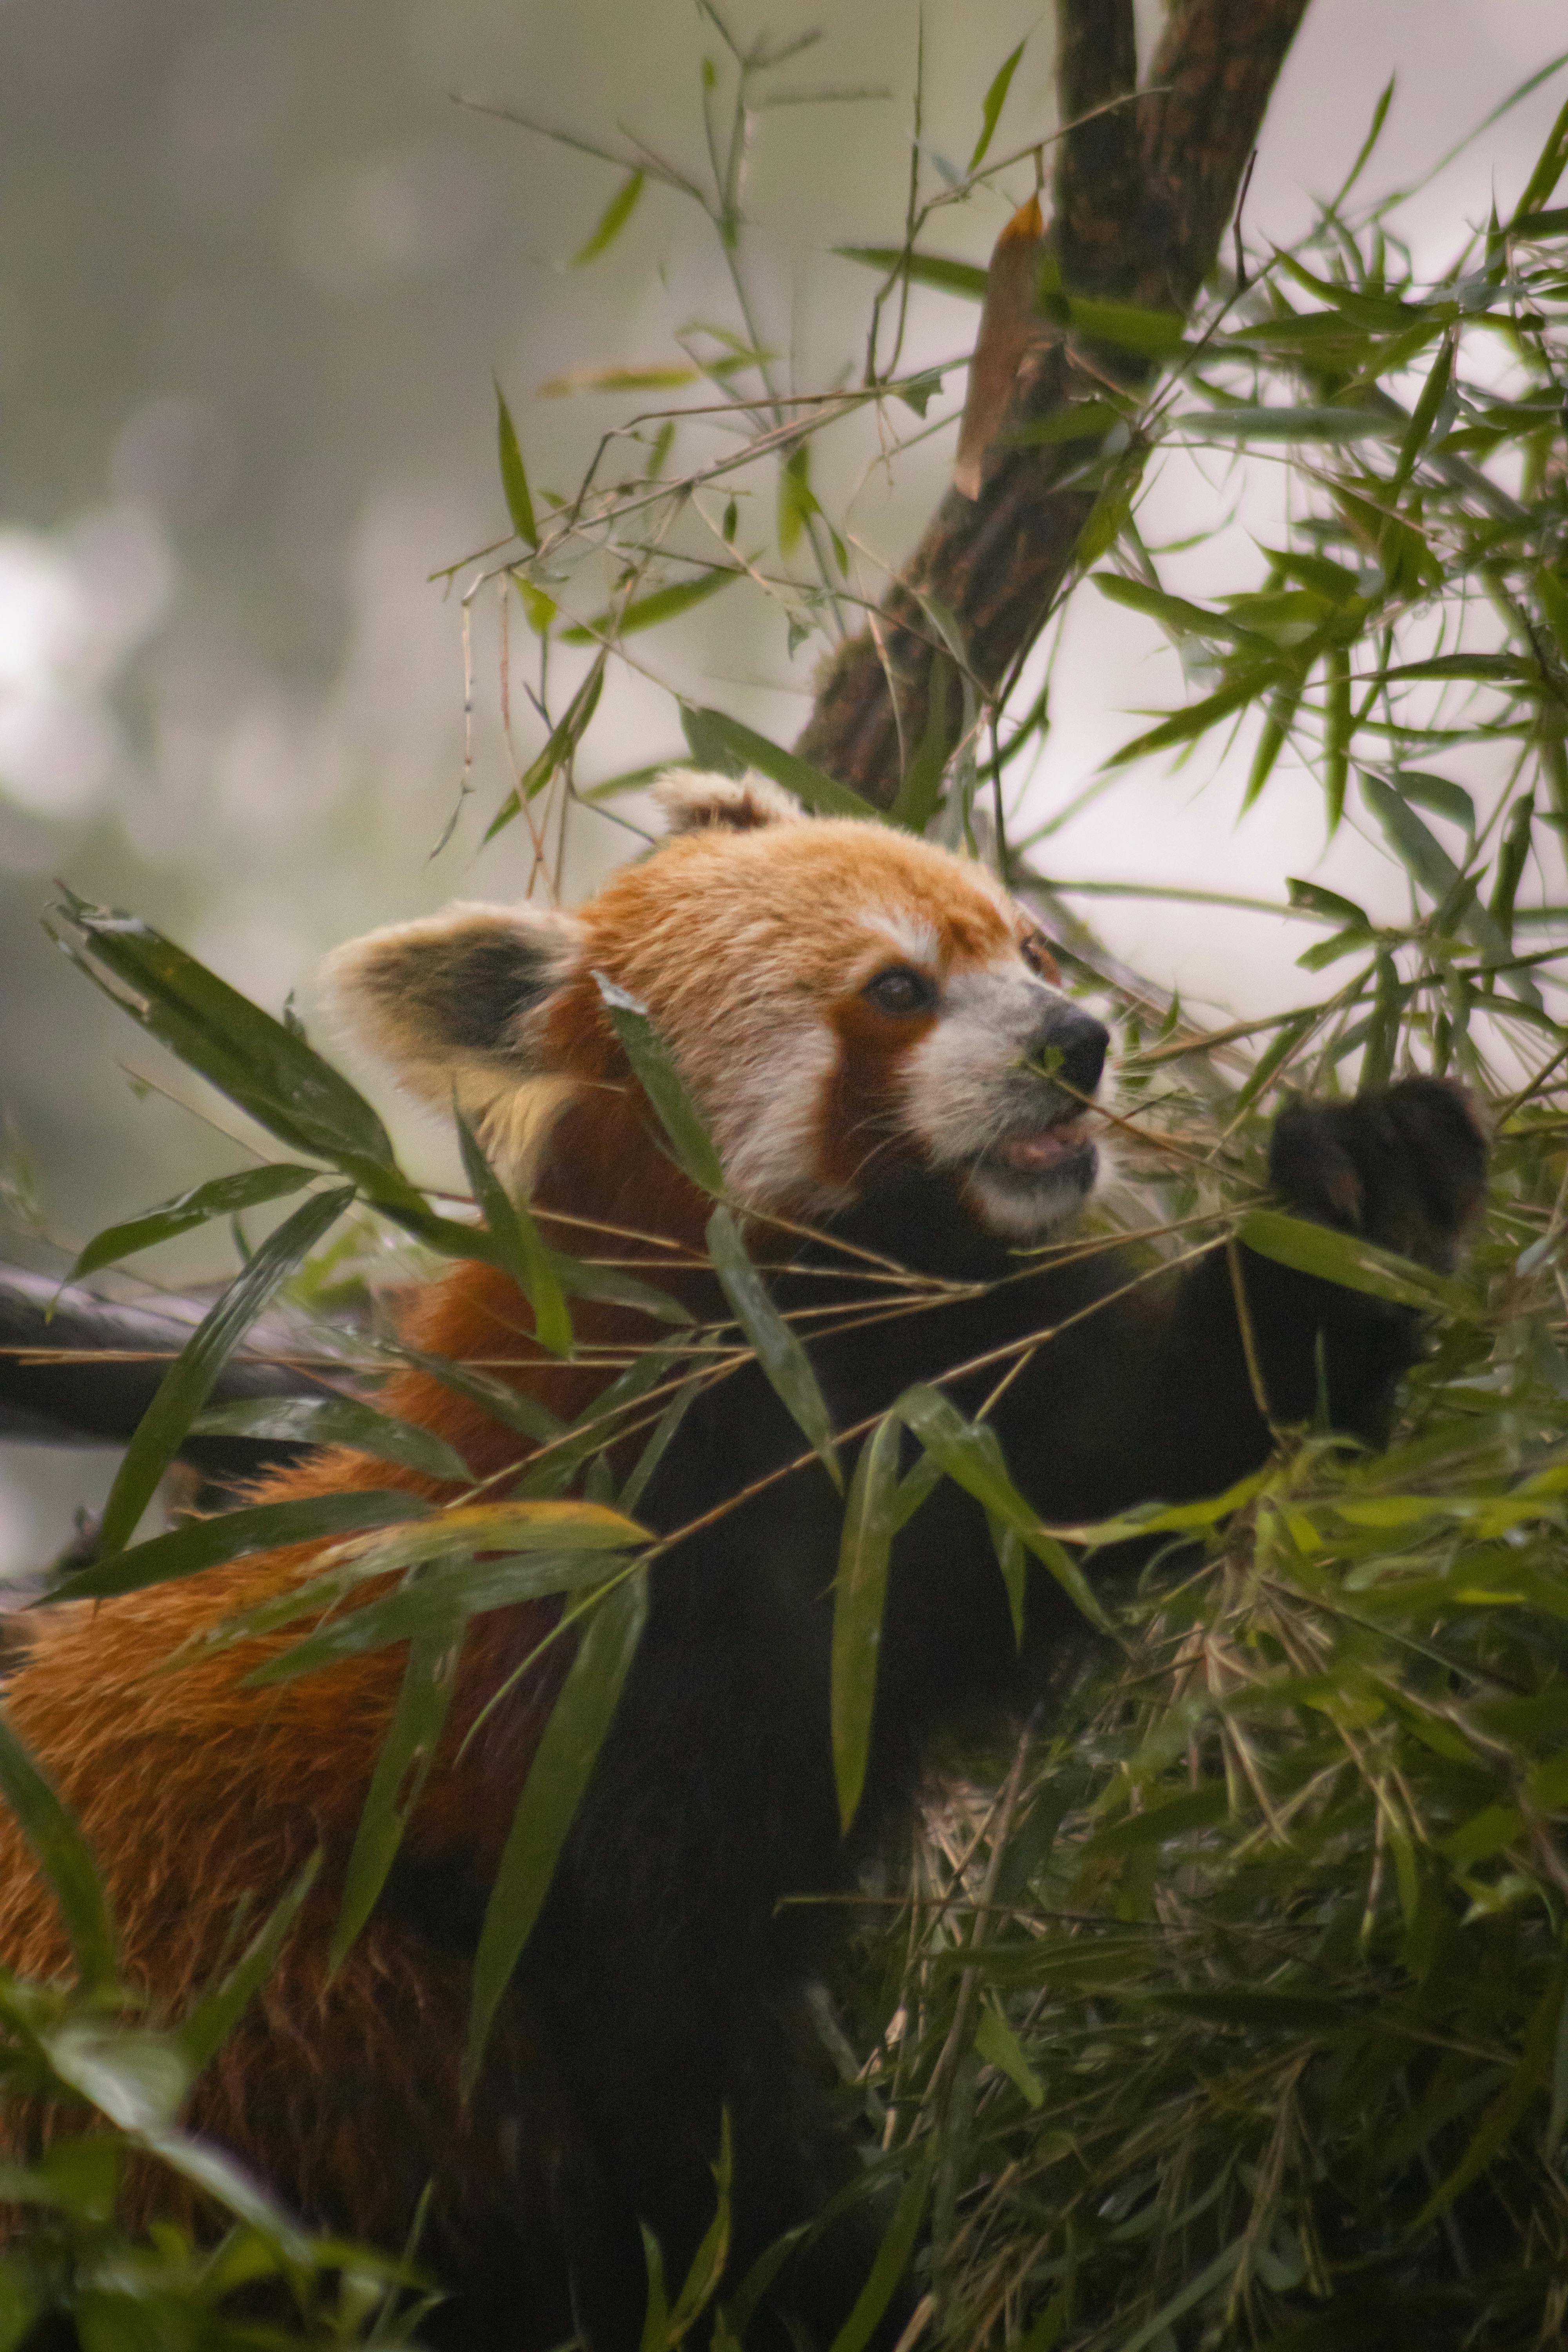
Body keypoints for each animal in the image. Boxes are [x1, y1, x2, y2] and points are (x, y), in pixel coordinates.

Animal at [0, 772, 1487, 2350]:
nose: (1072, 1042)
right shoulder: (586, 1635)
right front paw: (831, 2268)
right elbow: (665, 2031)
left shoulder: (949, 1449)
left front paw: (1361, 1200)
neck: (793, 1368)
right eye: (897, 988)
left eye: (1033, 949)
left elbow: (1167, 1428)